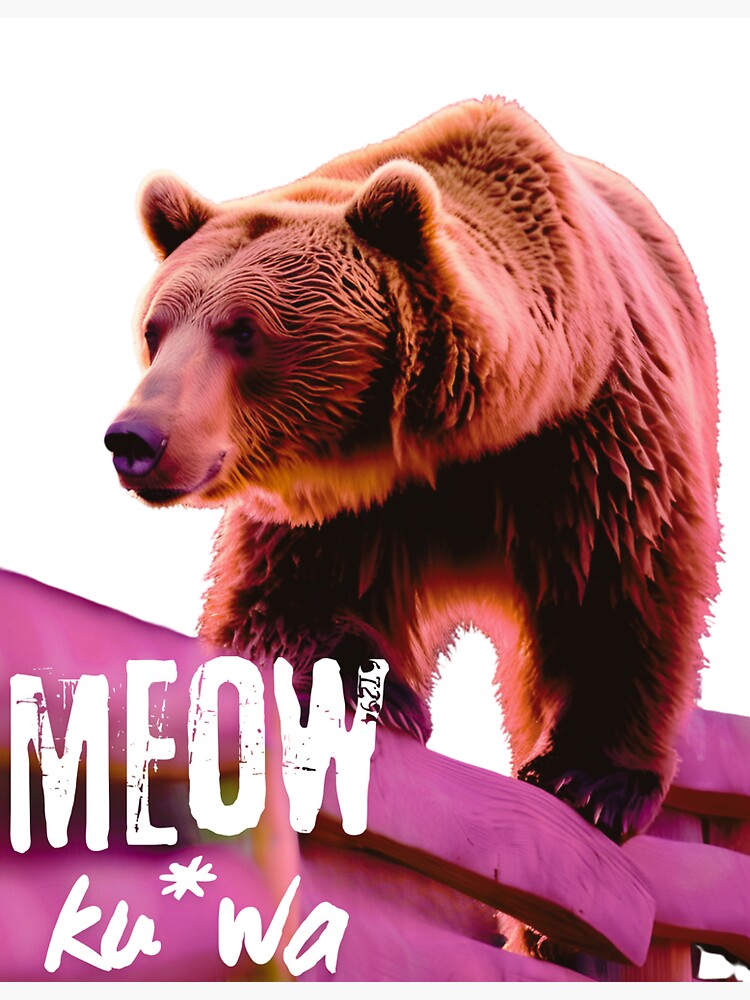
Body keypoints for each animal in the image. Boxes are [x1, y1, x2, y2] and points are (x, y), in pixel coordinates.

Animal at [105, 97, 720, 846]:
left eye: (244, 330)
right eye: (155, 329)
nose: (135, 438)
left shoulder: (588, 434)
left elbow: (621, 579)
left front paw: (590, 778)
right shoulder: (337, 503)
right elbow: (287, 595)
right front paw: (377, 692)